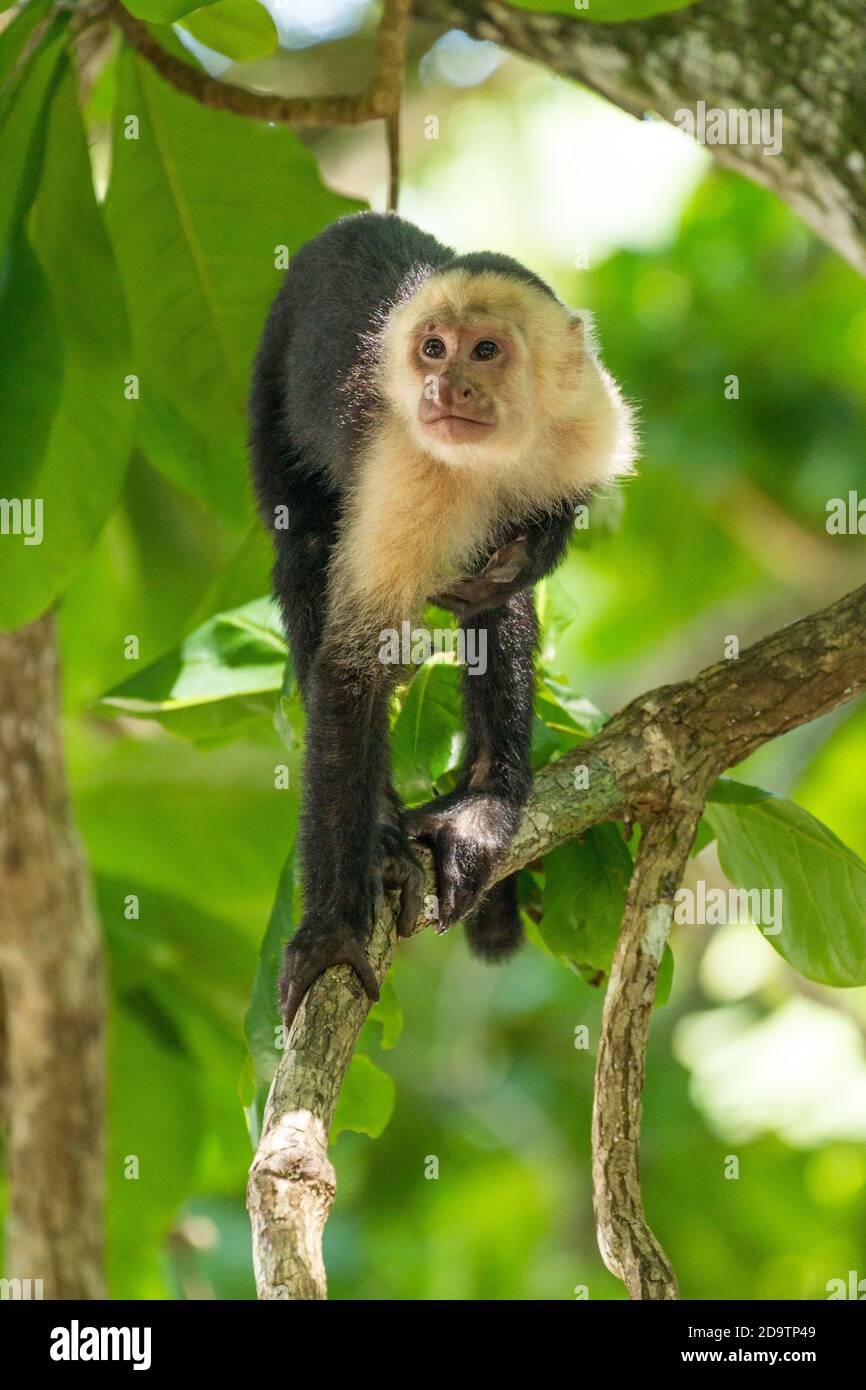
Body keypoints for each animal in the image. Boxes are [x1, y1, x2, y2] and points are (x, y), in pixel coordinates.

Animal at [249, 212, 636, 1030]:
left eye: (485, 351)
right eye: (433, 348)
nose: (442, 385)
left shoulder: (589, 418)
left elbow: (530, 553)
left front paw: (537, 544)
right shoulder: (407, 470)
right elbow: (353, 670)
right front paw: (332, 927)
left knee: (496, 610)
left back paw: (487, 798)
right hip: (269, 371)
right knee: (304, 552)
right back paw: (386, 834)